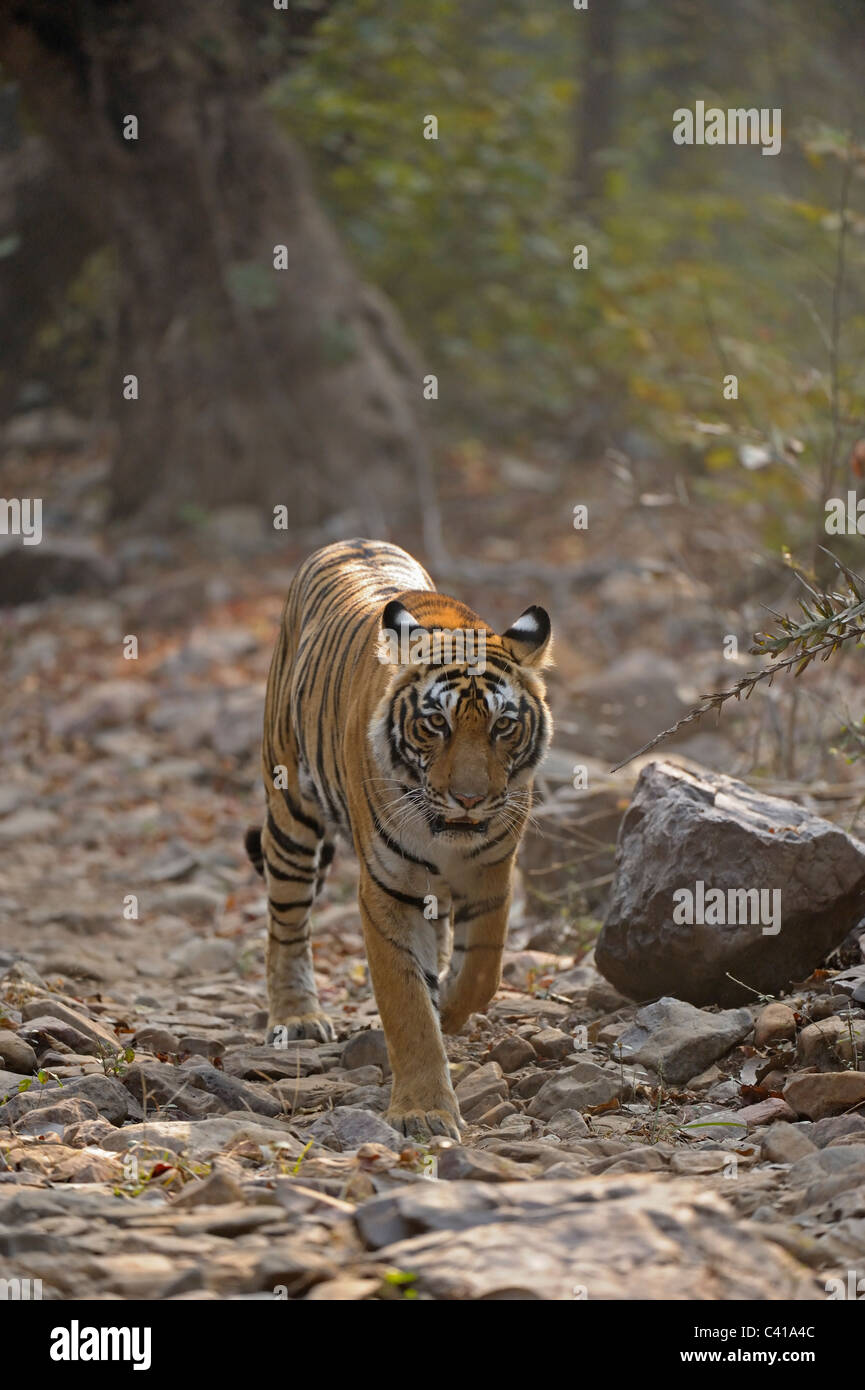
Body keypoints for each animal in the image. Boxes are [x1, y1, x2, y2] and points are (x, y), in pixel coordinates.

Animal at [246, 538, 553, 1139]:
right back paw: (297, 1017)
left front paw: (451, 1007)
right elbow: (407, 1005)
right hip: (291, 811)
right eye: (436, 724)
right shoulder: (389, 889)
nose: (469, 798)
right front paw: (425, 1112)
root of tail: (349, 541)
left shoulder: (493, 872)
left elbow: (482, 968)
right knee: (287, 921)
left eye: (503, 726)